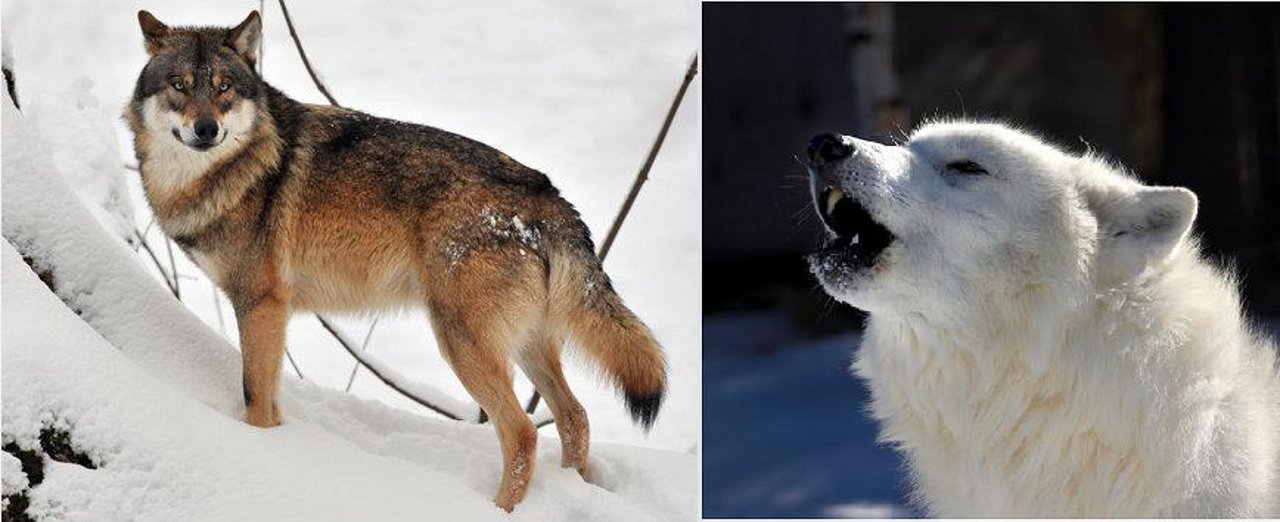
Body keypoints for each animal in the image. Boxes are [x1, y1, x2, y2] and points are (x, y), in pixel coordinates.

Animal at [124, 10, 666, 511]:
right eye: (179, 86)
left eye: (224, 88)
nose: (206, 129)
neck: (218, 176)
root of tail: (546, 193)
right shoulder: (270, 314)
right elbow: (270, 402)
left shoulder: (261, 306)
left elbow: (254, 401)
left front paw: (257, 451)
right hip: (525, 343)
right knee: (575, 417)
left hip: (461, 343)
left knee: (524, 433)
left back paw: (498, 508)